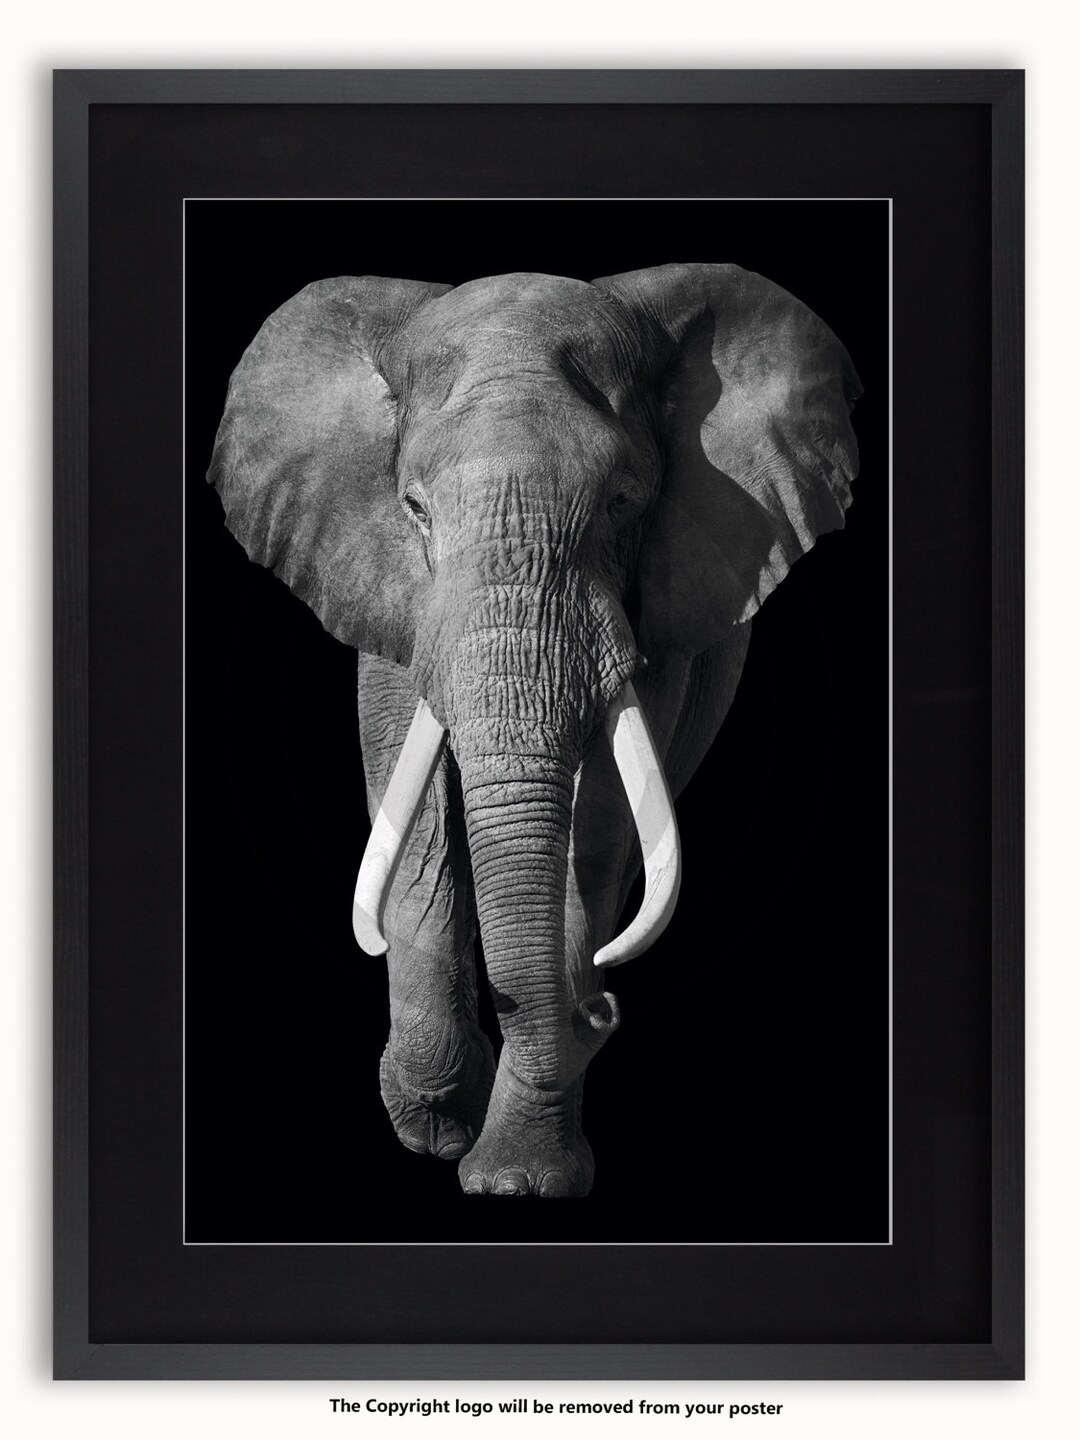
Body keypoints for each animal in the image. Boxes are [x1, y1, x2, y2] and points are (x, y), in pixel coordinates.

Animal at [208, 263, 861, 1198]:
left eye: (623, 503)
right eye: (415, 509)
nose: (601, 1009)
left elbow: (599, 824)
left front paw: (518, 1178)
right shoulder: (390, 594)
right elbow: (414, 807)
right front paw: (438, 1123)